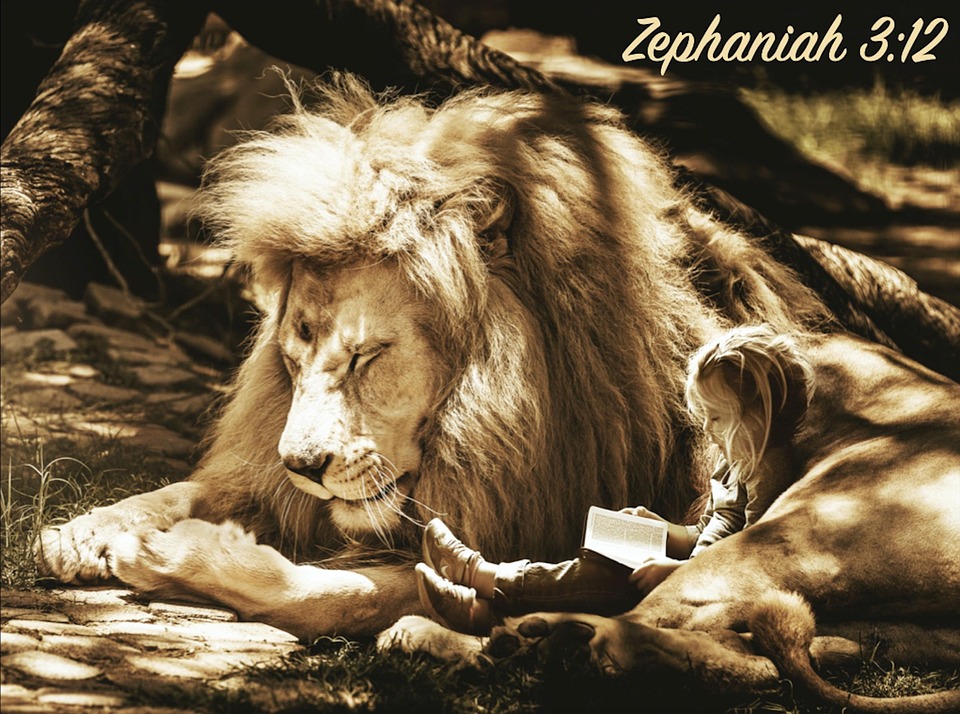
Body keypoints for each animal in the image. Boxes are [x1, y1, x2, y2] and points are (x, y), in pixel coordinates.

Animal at [35, 75, 959, 708]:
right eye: (295, 350)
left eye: (368, 358)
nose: (302, 464)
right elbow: (189, 488)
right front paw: (84, 531)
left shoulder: (530, 517)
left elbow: (331, 591)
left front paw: (180, 554)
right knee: (763, 649)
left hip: (803, 522)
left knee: (657, 622)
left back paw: (516, 639)